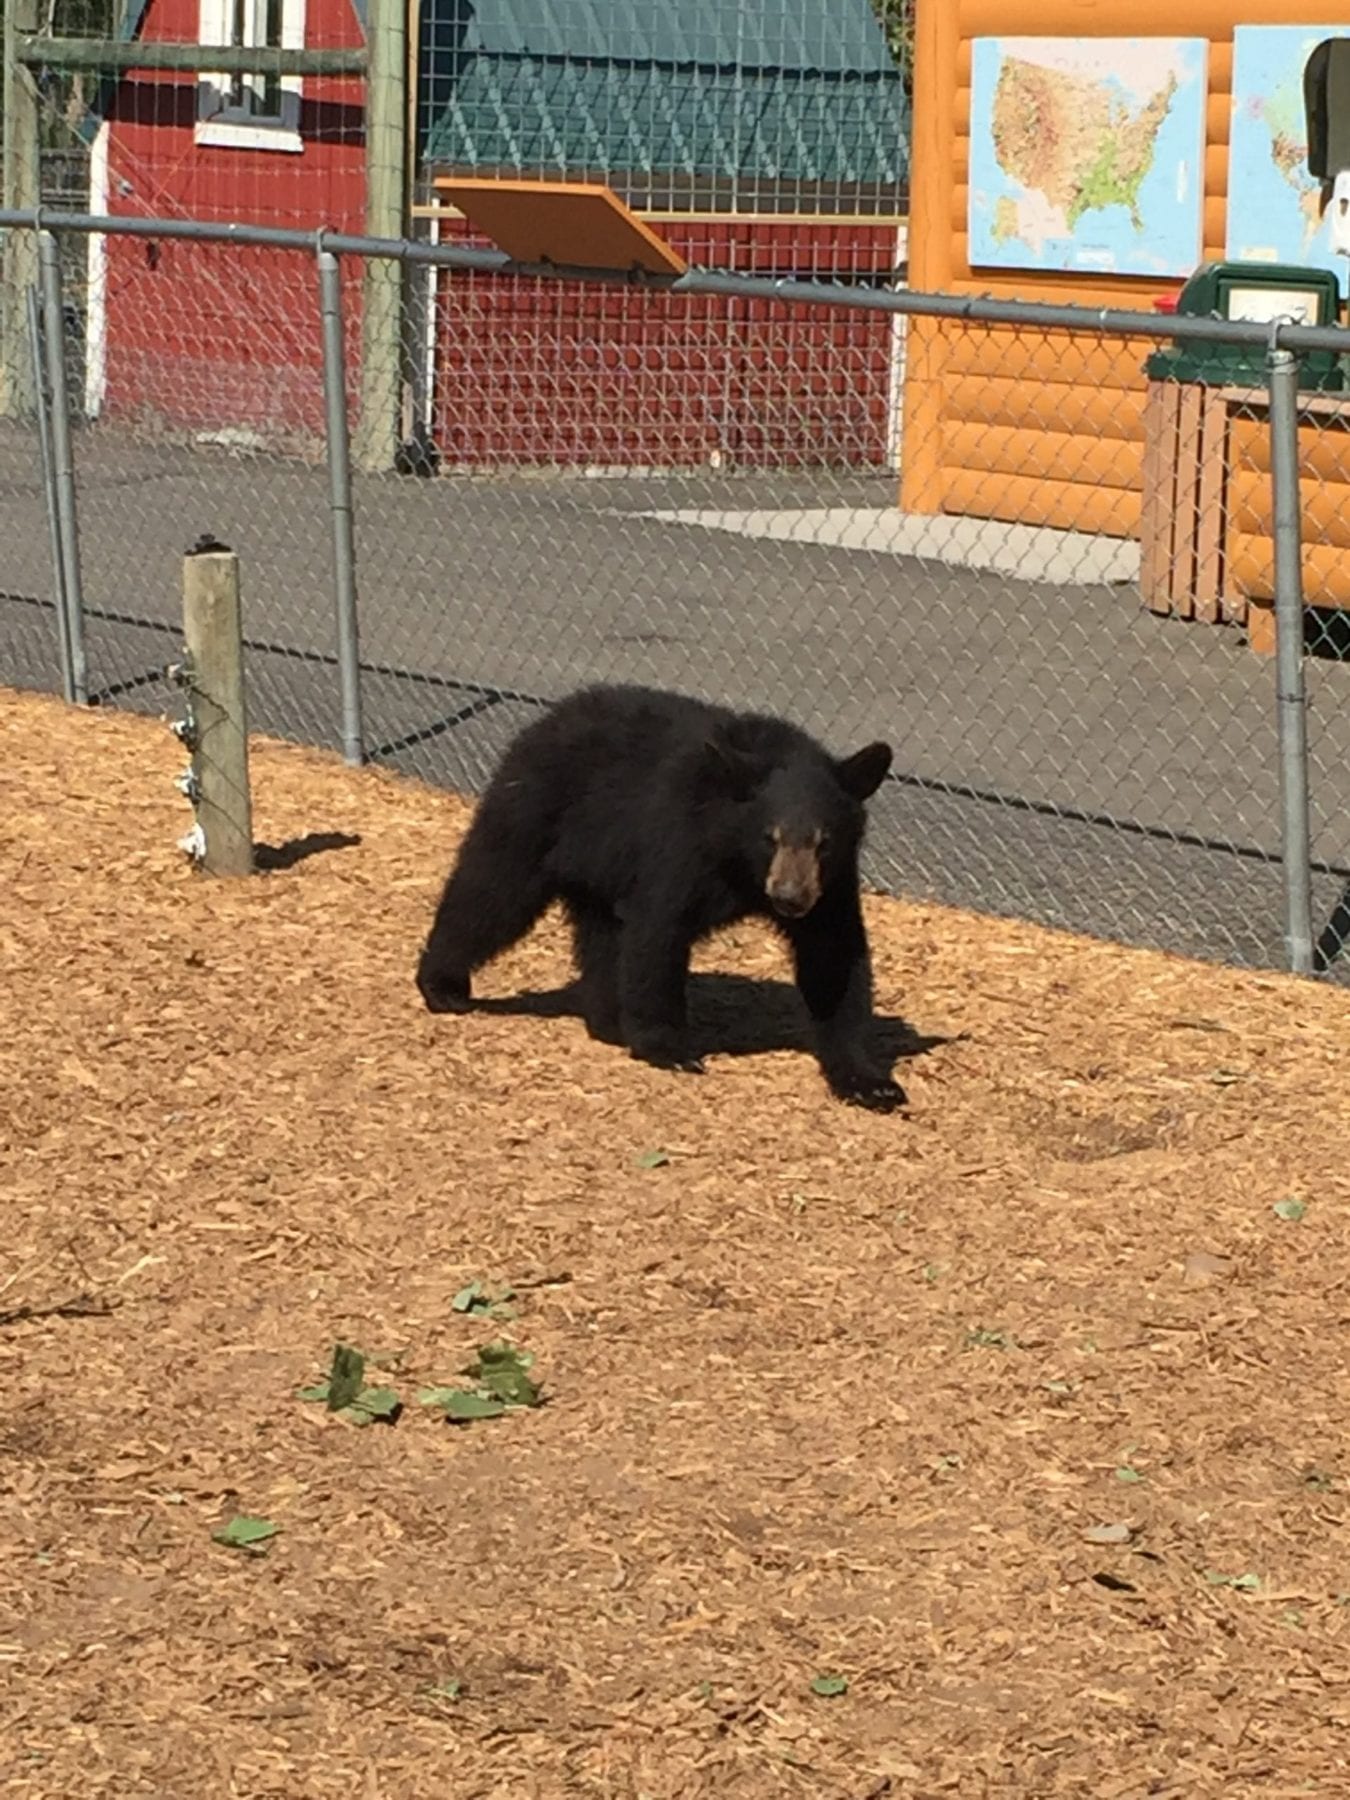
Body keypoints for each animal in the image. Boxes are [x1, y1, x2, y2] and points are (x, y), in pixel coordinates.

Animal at [416, 682, 904, 1111]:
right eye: (771, 837)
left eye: (824, 842)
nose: (790, 897)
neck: (737, 856)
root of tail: (554, 714)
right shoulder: (680, 843)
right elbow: (658, 930)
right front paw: (669, 1049)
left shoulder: (833, 882)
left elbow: (833, 957)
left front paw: (870, 1082)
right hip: (533, 812)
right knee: (492, 890)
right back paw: (443, 985)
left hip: (599, 867)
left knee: (603, 936)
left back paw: (608, 1021)